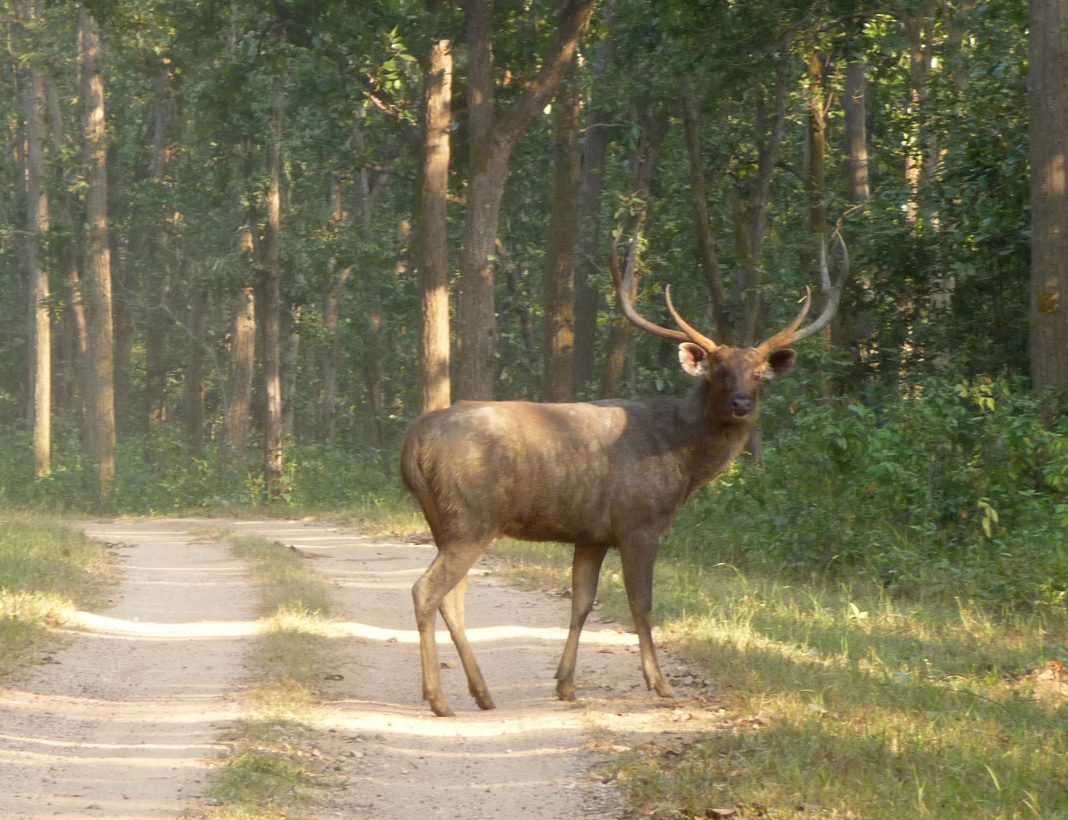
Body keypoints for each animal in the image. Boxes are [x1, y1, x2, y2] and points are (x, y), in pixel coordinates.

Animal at [401, 237, 847, 717]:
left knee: (453, 599)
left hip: (445, 521)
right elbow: (642, 602)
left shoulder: (592, 533)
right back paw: (439, 699)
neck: (683, 459)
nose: (742, 402)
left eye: (759, 373)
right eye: (718, 370)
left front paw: (565, 685)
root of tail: (413, 445)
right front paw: (660, 683)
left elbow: (581, 603)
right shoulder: (639, 523)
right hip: (472, 517)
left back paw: (482, 693)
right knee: (427, 590)